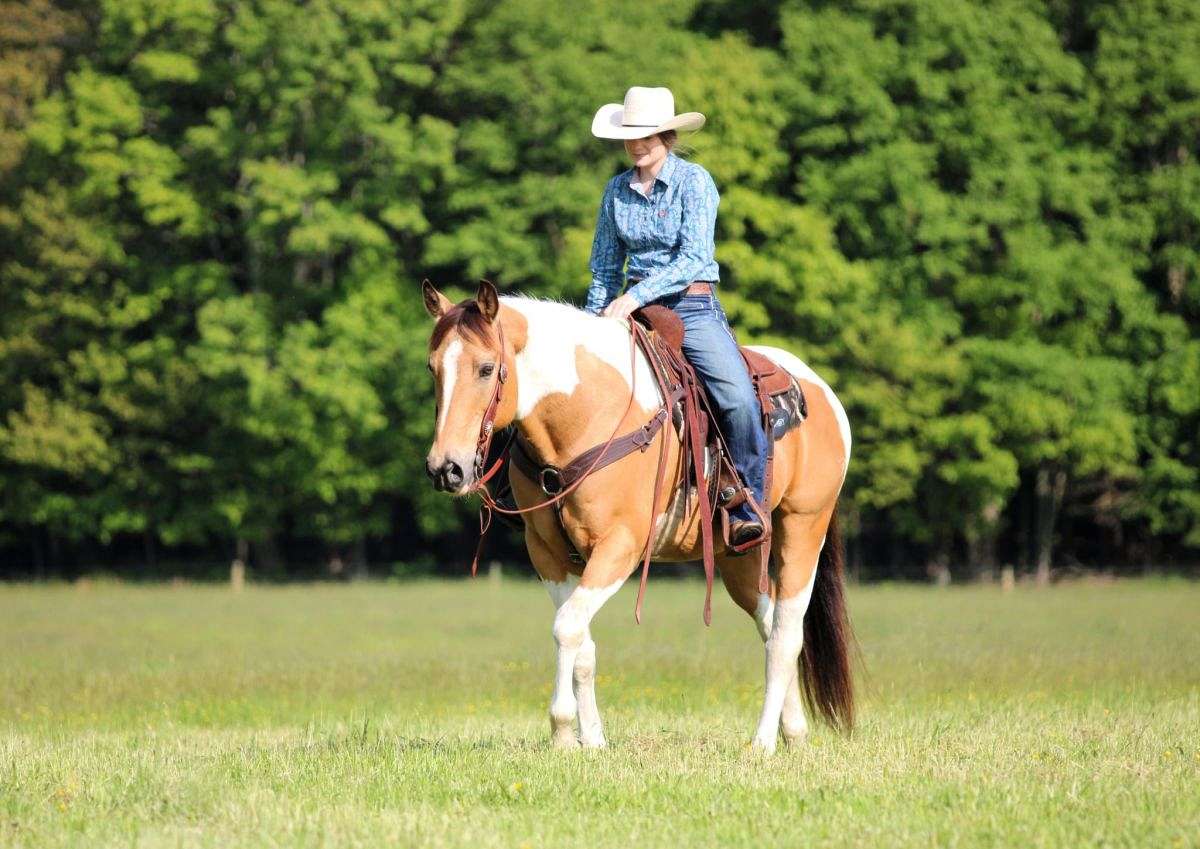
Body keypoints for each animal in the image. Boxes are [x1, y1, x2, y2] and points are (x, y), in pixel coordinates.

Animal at [422, 280, 854, 753]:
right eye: (432, 368)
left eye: (485, 369)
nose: (446, 468)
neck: (587, 415)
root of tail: (821, 390)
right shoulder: (548, 553)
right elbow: (582, 643)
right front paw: (591, 739)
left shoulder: (620, 546)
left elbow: (567, 627)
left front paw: (561, 730)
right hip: (739, 555)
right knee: (769, 622)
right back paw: (793, 732)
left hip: (803, 526)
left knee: (786, 636)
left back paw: (762, 742)